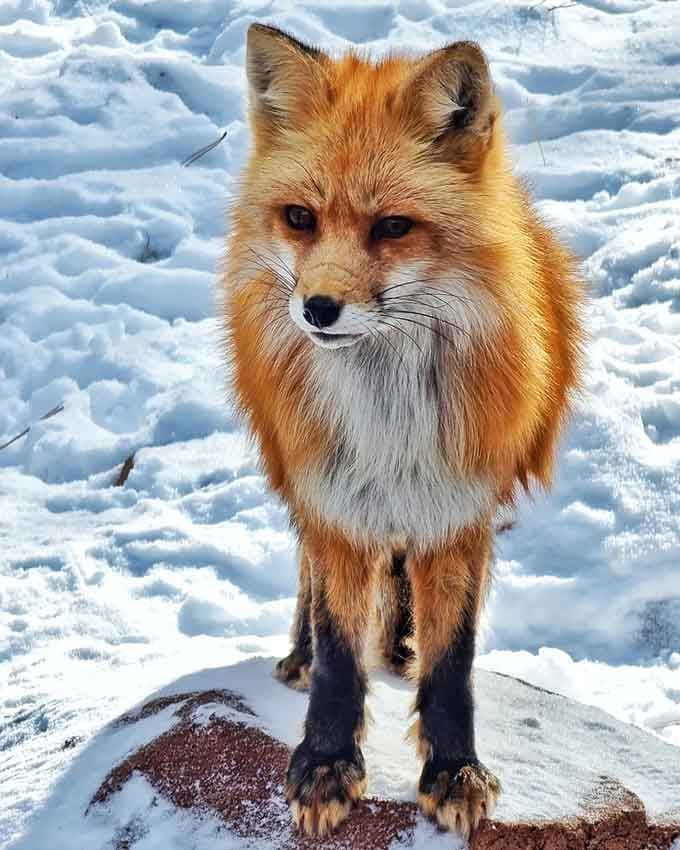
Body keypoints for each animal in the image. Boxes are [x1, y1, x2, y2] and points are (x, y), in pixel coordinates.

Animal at [223, 23, 583, 841]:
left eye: (393, 227)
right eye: (299, 218)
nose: (317, 309)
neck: (388, 416)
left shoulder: (459, 504)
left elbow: (453, 661)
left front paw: (453, 769)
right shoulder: (332, 495)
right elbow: (337, 650)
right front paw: (325, 764)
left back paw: (401, 641)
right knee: (310, 581)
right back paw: (299, 652)